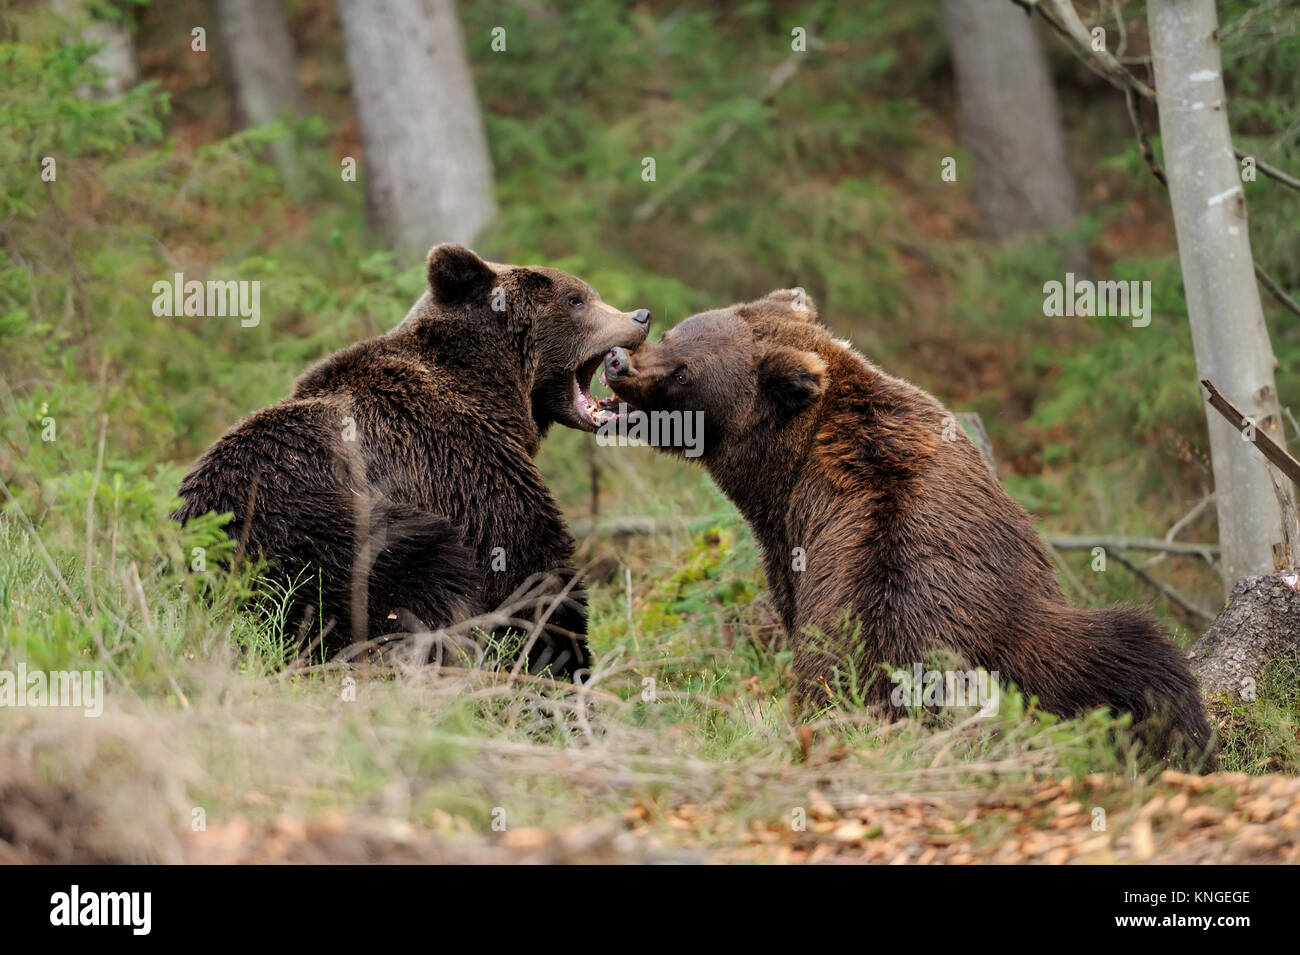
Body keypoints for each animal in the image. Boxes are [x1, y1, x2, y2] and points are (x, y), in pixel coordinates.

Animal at [175, 244, 650, 676]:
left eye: (588, 293)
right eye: (575, 298)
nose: (641, 316)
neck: (493, 390)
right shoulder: (459, 465)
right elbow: (528, 570)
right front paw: (562, 666)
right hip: (320, 528)